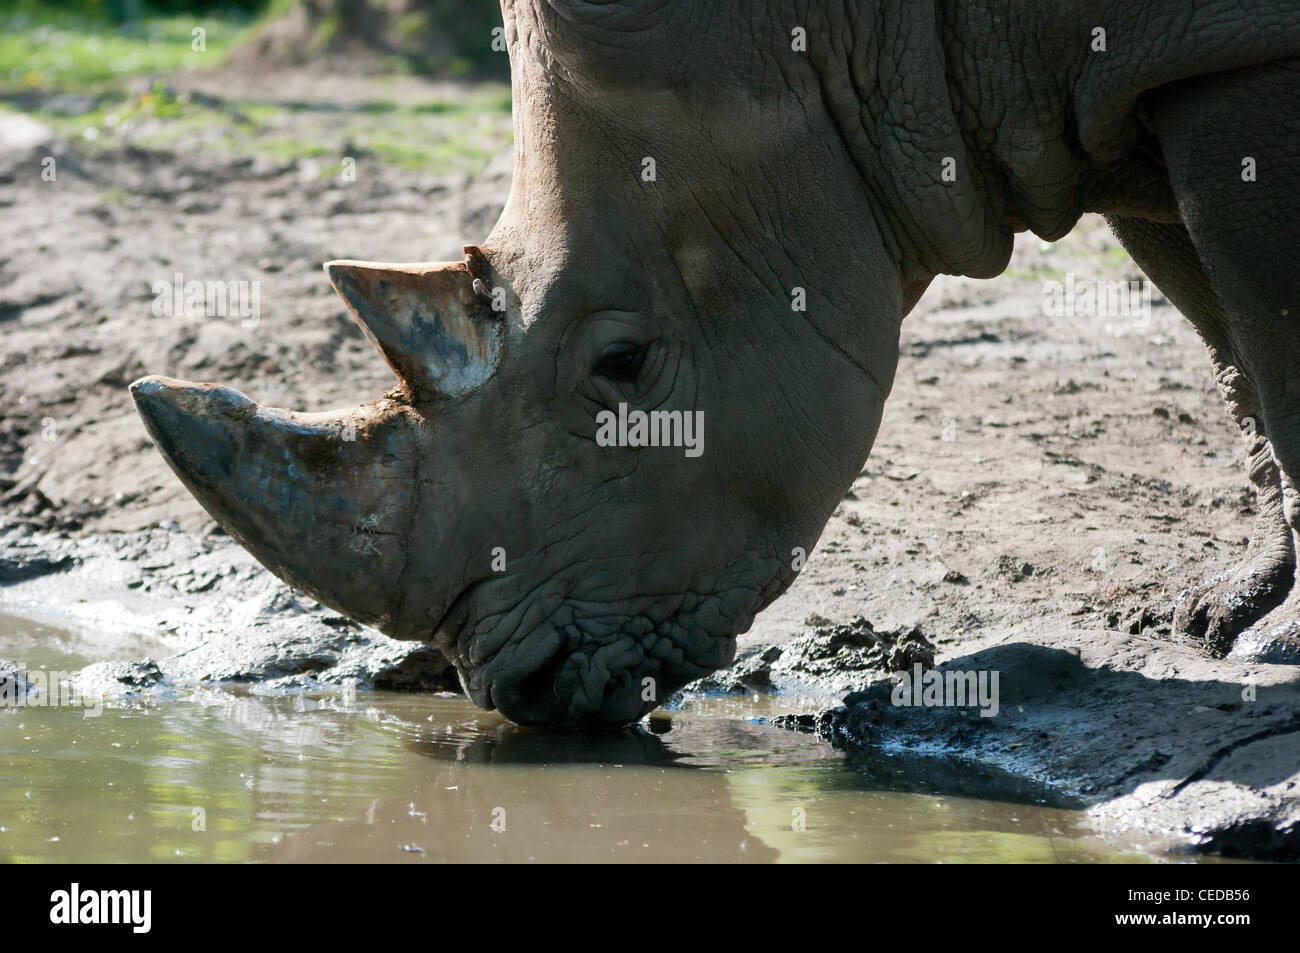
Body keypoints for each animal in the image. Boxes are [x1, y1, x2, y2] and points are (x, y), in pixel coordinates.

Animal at [132, 0, 1300, 726]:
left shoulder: (1228, 53)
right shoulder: (1114, 82)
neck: (853, 34)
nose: (525, 689)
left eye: (623, 361)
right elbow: (1228, 339)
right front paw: (1227, 616)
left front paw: (1276, 645)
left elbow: (1272, 330)